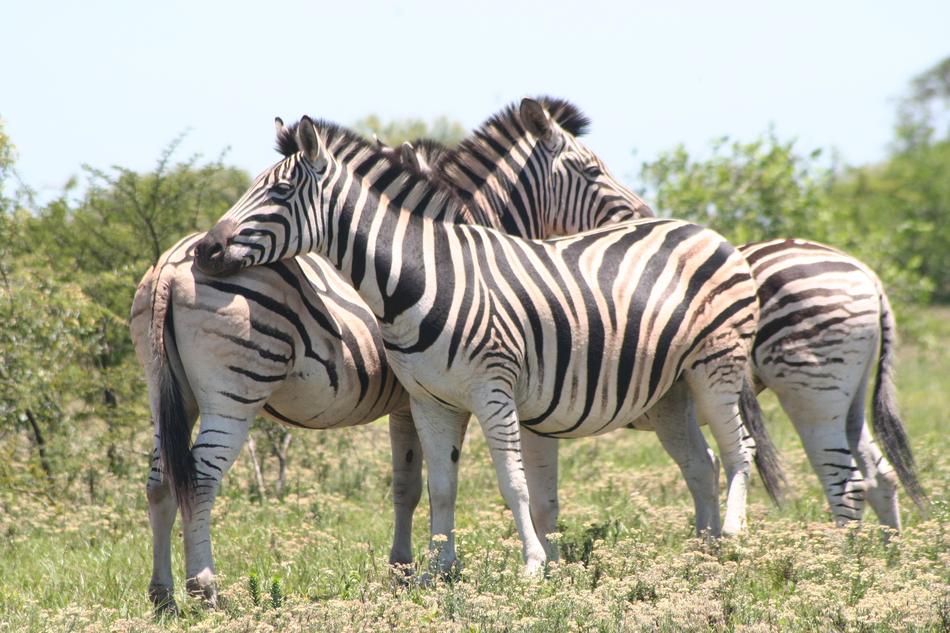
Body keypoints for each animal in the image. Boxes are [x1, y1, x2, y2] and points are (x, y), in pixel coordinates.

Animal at [192, 114, 774, 576]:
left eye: (279, 193)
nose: (205, 250)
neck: (421, 278)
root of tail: (704, 229)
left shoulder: (496, 392)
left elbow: (516, 485)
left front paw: (534, 566)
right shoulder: (429, 401)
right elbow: (442, 487)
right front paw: (438, 572)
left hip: (716, 364)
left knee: (737, 448)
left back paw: (732, 538)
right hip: (671, 389)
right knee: (701, 463)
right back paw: (702, 552)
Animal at [390, 98, 925, 529]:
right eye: (592, 171)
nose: (646, 215)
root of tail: (864, 273)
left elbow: (531, 497)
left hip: (810, 386)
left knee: (844, 480)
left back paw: (842, 562)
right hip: (845, 390)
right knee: (879, 474)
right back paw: (882, 561)